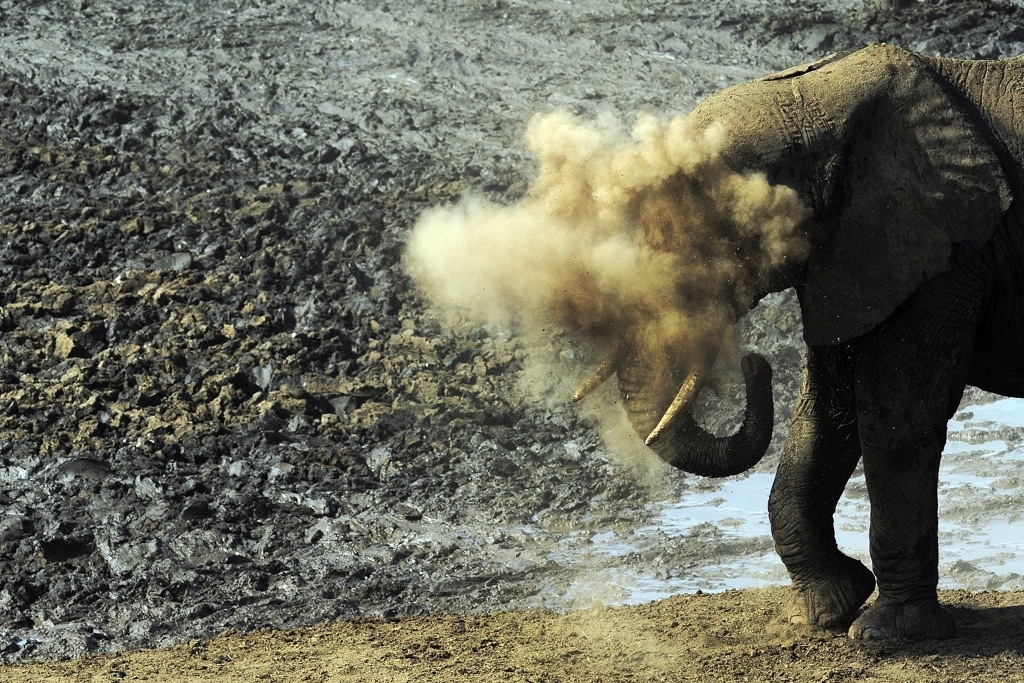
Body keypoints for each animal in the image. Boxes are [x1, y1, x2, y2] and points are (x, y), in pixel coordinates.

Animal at [571, 43, 1024, 640]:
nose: (754, 362)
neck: (814, 100)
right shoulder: (855, 251)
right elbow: (829, 407)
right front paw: (831, 607)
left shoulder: (941, 253)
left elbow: (897, 412)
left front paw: (885, 635)